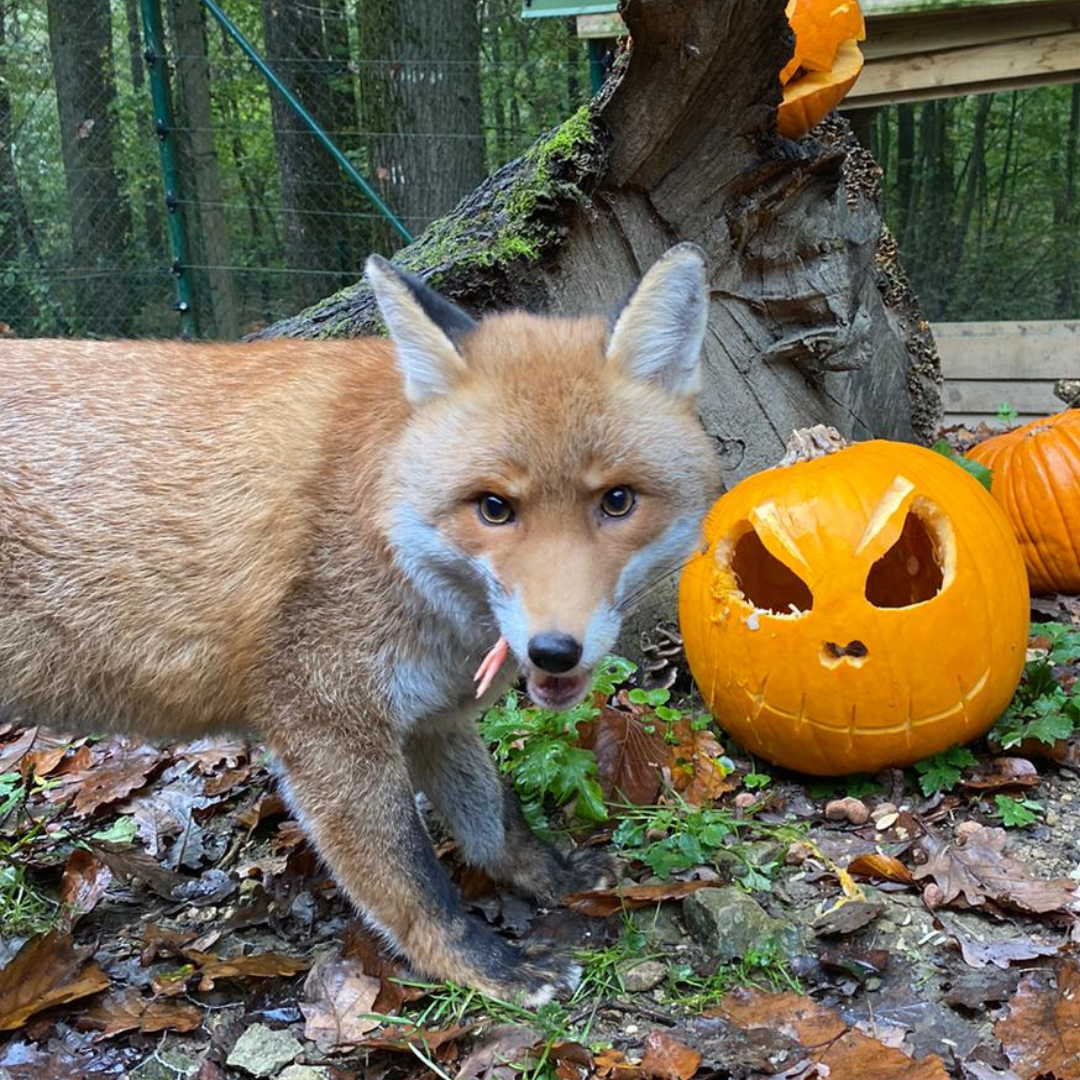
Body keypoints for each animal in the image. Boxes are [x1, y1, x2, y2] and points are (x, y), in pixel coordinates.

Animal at [0, 243, 723, 1003]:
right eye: (494, 509)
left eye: (617, 501)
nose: (554, 651)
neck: (387, 529)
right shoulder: (326, 727)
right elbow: (413, 880)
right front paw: (485, 967)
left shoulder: (434, 713)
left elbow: (496, 817)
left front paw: (552, 875)